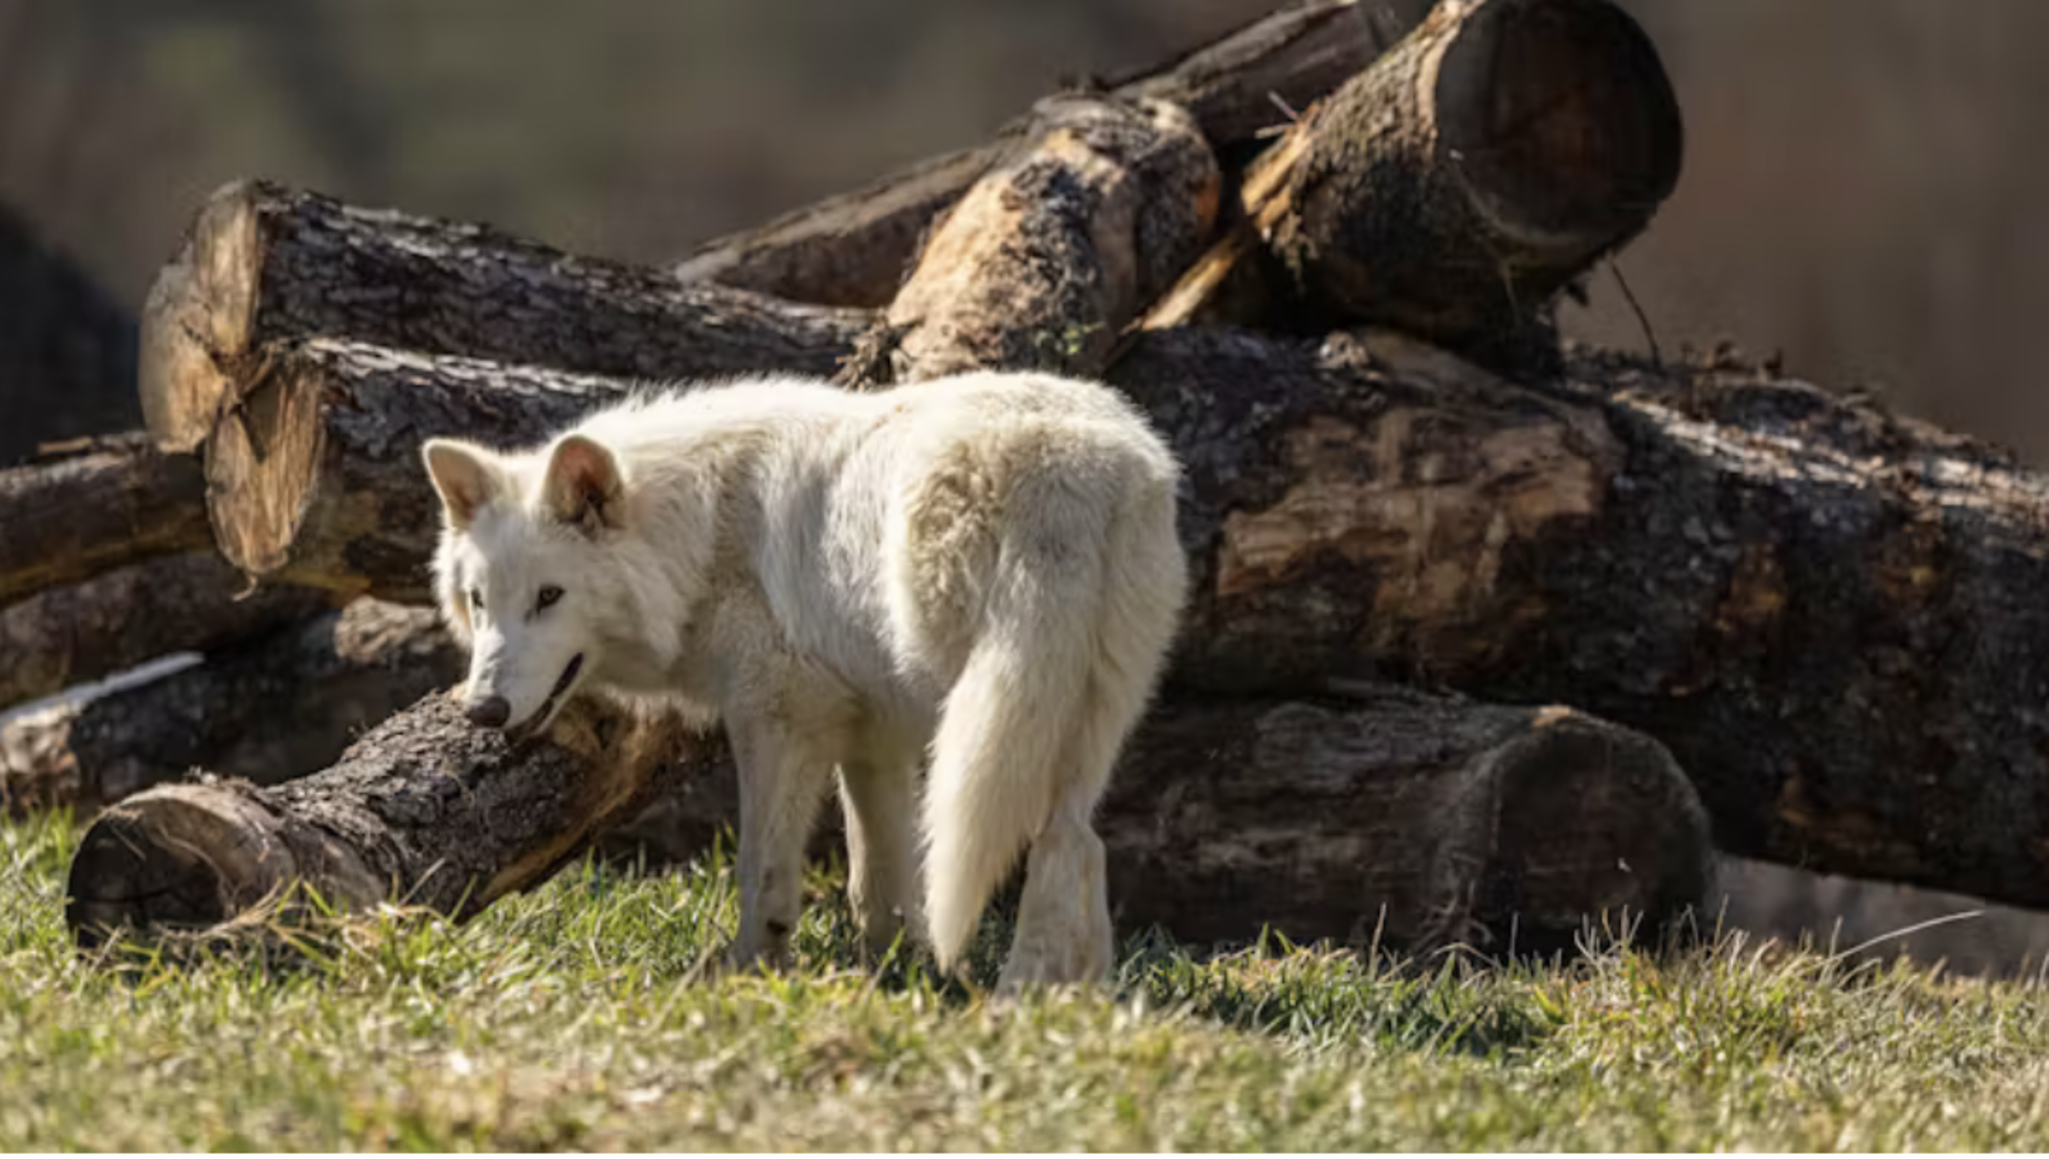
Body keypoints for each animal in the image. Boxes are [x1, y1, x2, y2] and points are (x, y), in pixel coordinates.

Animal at [420, 369, 1186, 989]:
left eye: (549, 597)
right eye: (480, 601)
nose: (484, 710)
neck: (697, 539)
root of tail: (1073, 470)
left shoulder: (780, 721)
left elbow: (763, 874)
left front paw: (746, 975)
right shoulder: (872, 741)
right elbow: (878, 885)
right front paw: (890, 978)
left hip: (980, 721)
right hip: (1062, 727)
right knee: (1075, 844)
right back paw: (1052, 1001)